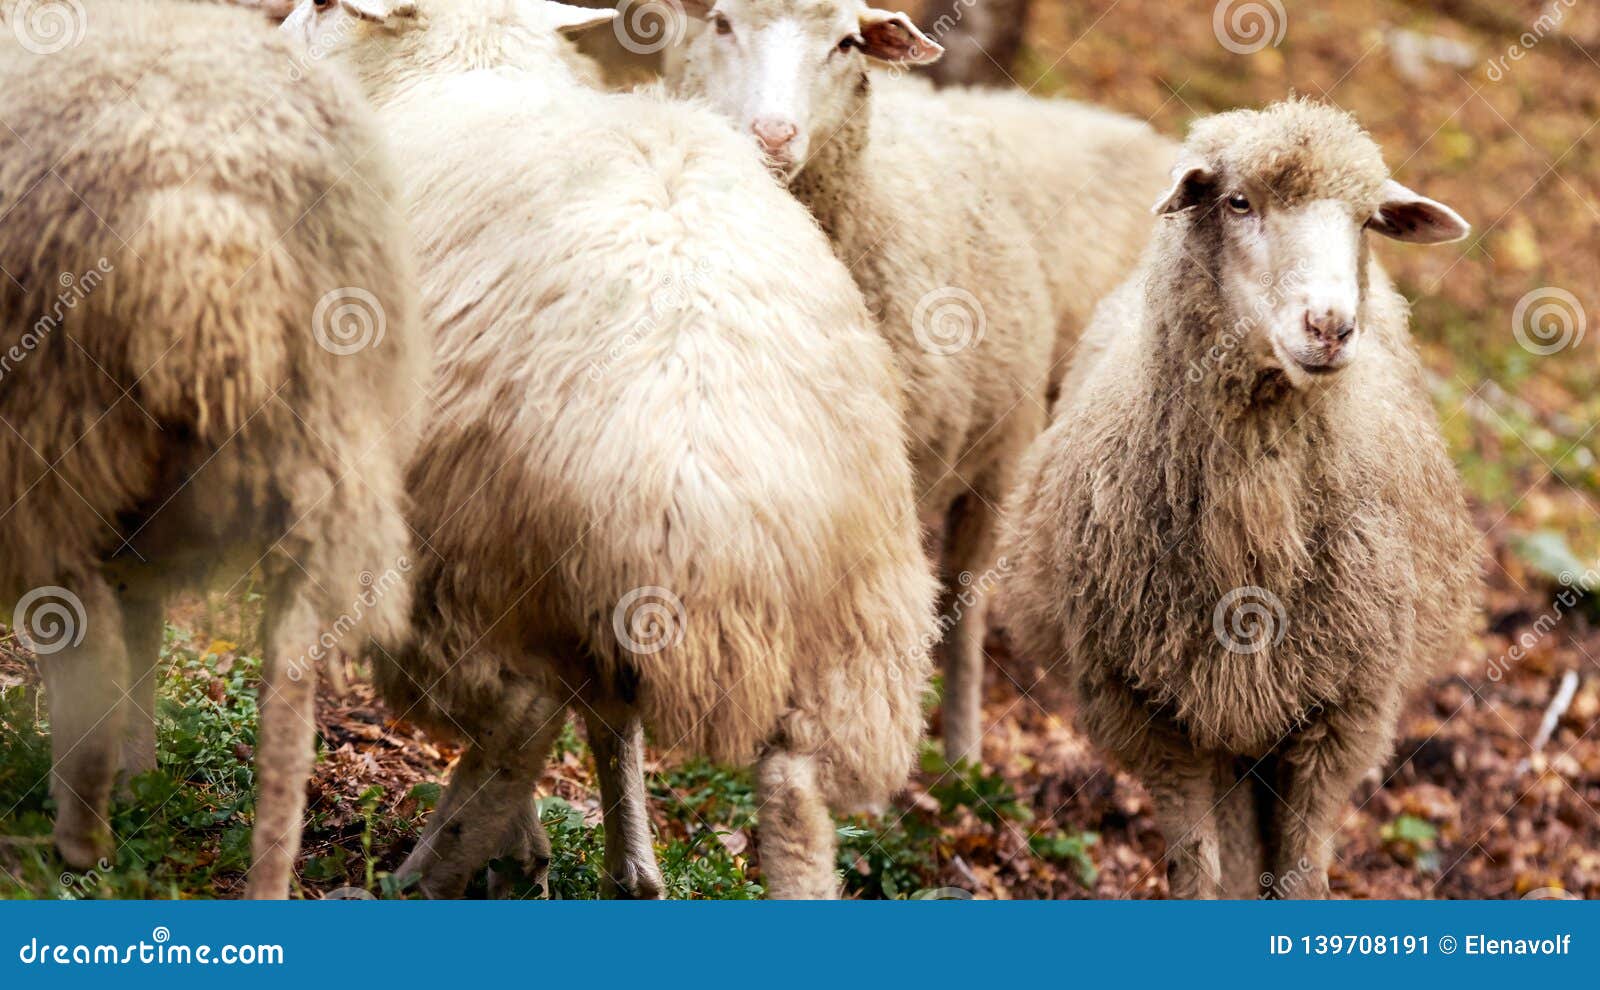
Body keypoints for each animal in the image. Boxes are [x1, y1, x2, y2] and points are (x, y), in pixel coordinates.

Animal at [0, 0, 422, 898]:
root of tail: (202, 214)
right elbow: (148, 624)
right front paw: (142, 771)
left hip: (47, 425)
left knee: (81, 633)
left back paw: (76, 839)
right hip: (324, 434)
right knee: (287, 677)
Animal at [282, 0, 937, 899]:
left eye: (322, 8)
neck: (459, 72)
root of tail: (701, 475)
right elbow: (614, 722)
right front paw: (627, 863)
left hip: (474, 538)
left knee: (516, 719)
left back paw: (431, 872)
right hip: (851, 622)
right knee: (791, 790)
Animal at [665, 0, 1067, 767]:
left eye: (846, 42)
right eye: (722, 22)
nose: (773, 134)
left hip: (998, 461)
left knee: (963, 609)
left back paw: (960, 758)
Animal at [999, 99, 1482, 899]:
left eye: (1365, 221)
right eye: (1237, 202)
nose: (1330, 327)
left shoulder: (1343, 714)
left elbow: (1302, 872)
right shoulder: (1154, 715)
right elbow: (1198, 867)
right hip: (1224, 717)